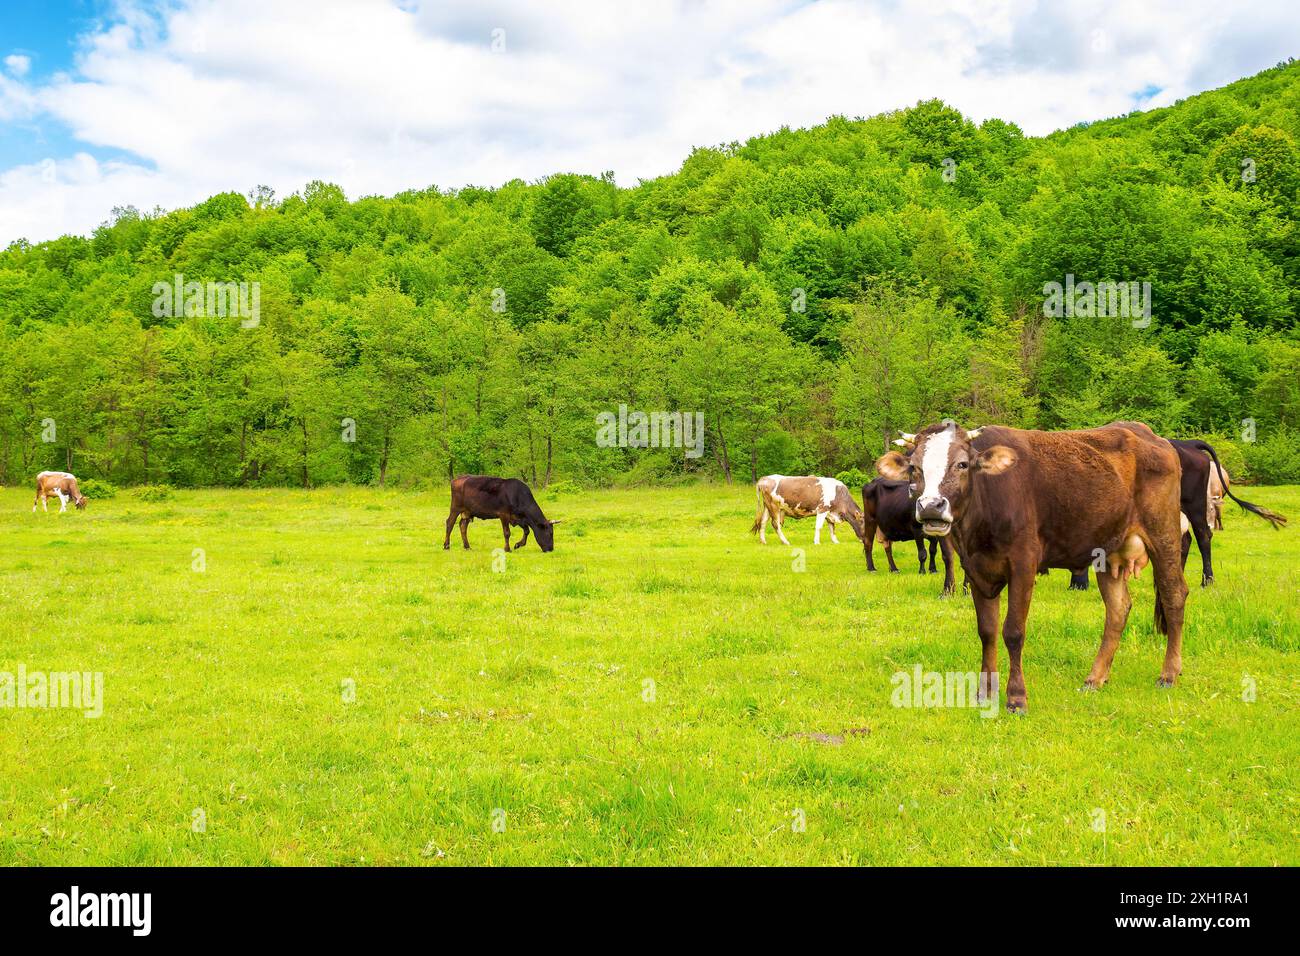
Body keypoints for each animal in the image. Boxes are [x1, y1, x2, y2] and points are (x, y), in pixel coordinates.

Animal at [876, 421, 1189, 713]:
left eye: (962, 464)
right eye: (914, 467)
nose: (931, 506)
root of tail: (1149, 434)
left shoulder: (1023, 566)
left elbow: (1013, 632)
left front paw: (1016, 697)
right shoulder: (976, 570)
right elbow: (987, 631)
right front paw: (984, 693)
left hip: (1164, 533)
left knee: (1174, 595)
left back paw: (1169, 673)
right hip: (1108, 549)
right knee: (1118, 608)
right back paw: (1095, 677)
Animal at [1067, 438, 1284, 590]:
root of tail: (1188, 443)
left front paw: (1080, 582)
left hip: (1194, 503)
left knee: (1203, 536)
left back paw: (1207, 580)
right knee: (1184, 540)